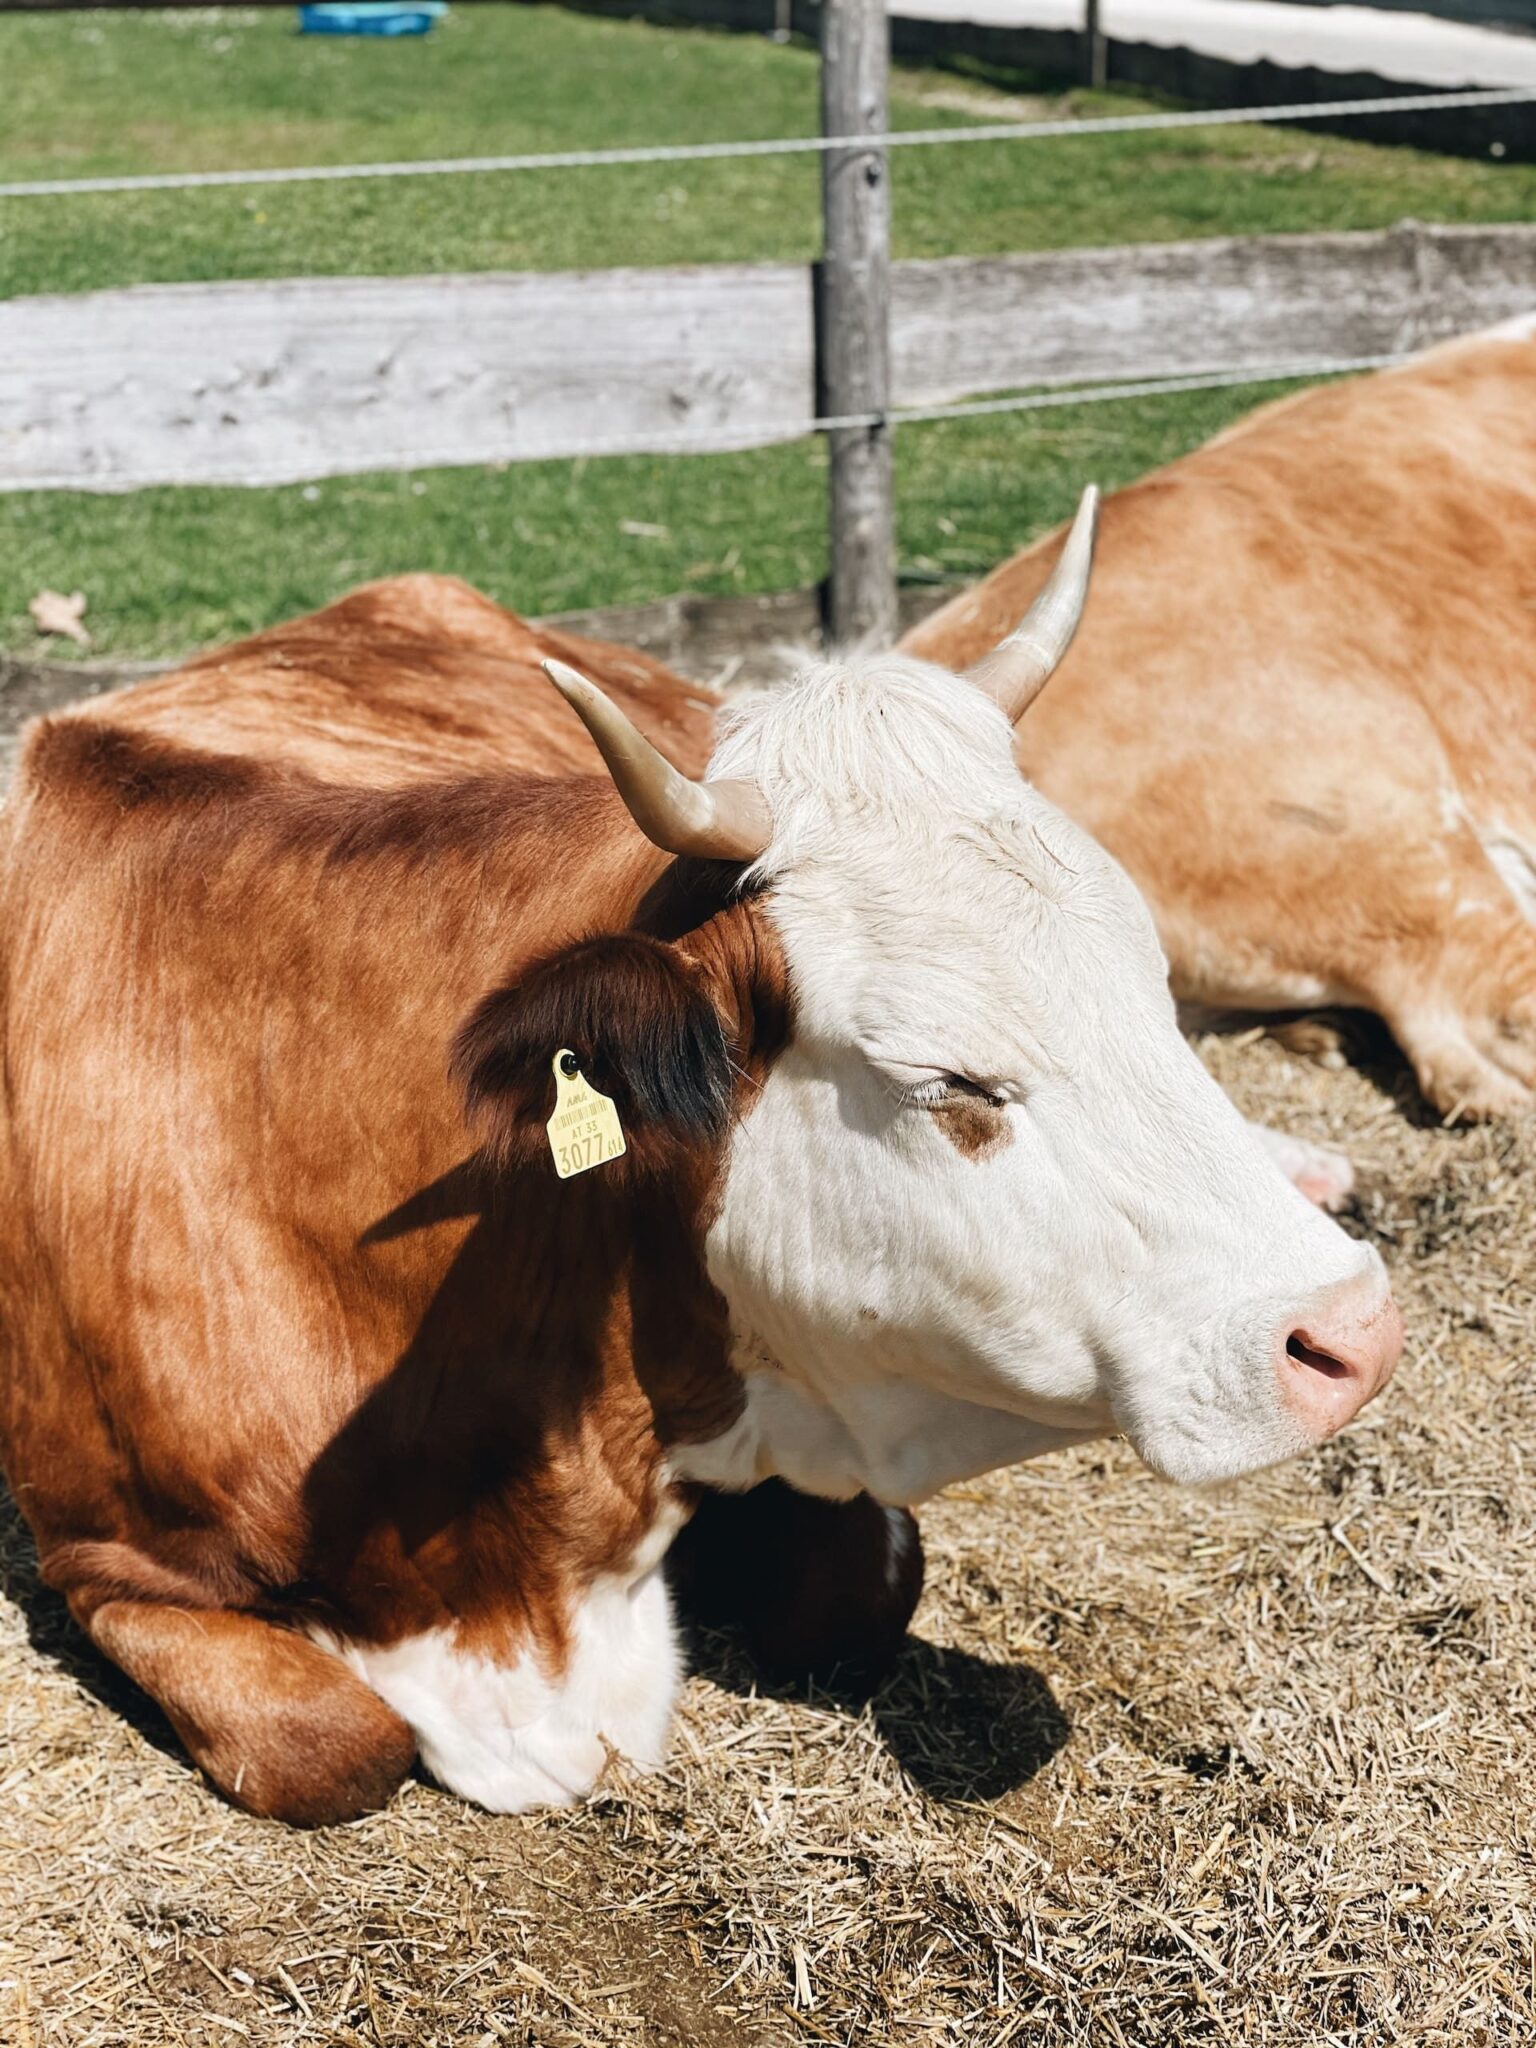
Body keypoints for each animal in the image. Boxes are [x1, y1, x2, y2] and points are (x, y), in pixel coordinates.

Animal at [0, 496, 1400, 1826]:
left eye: (1152, 984)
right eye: (947, 1080)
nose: (1352, 1329)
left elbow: (864, 1588)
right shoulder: (99, 1559)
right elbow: (326, 1740)